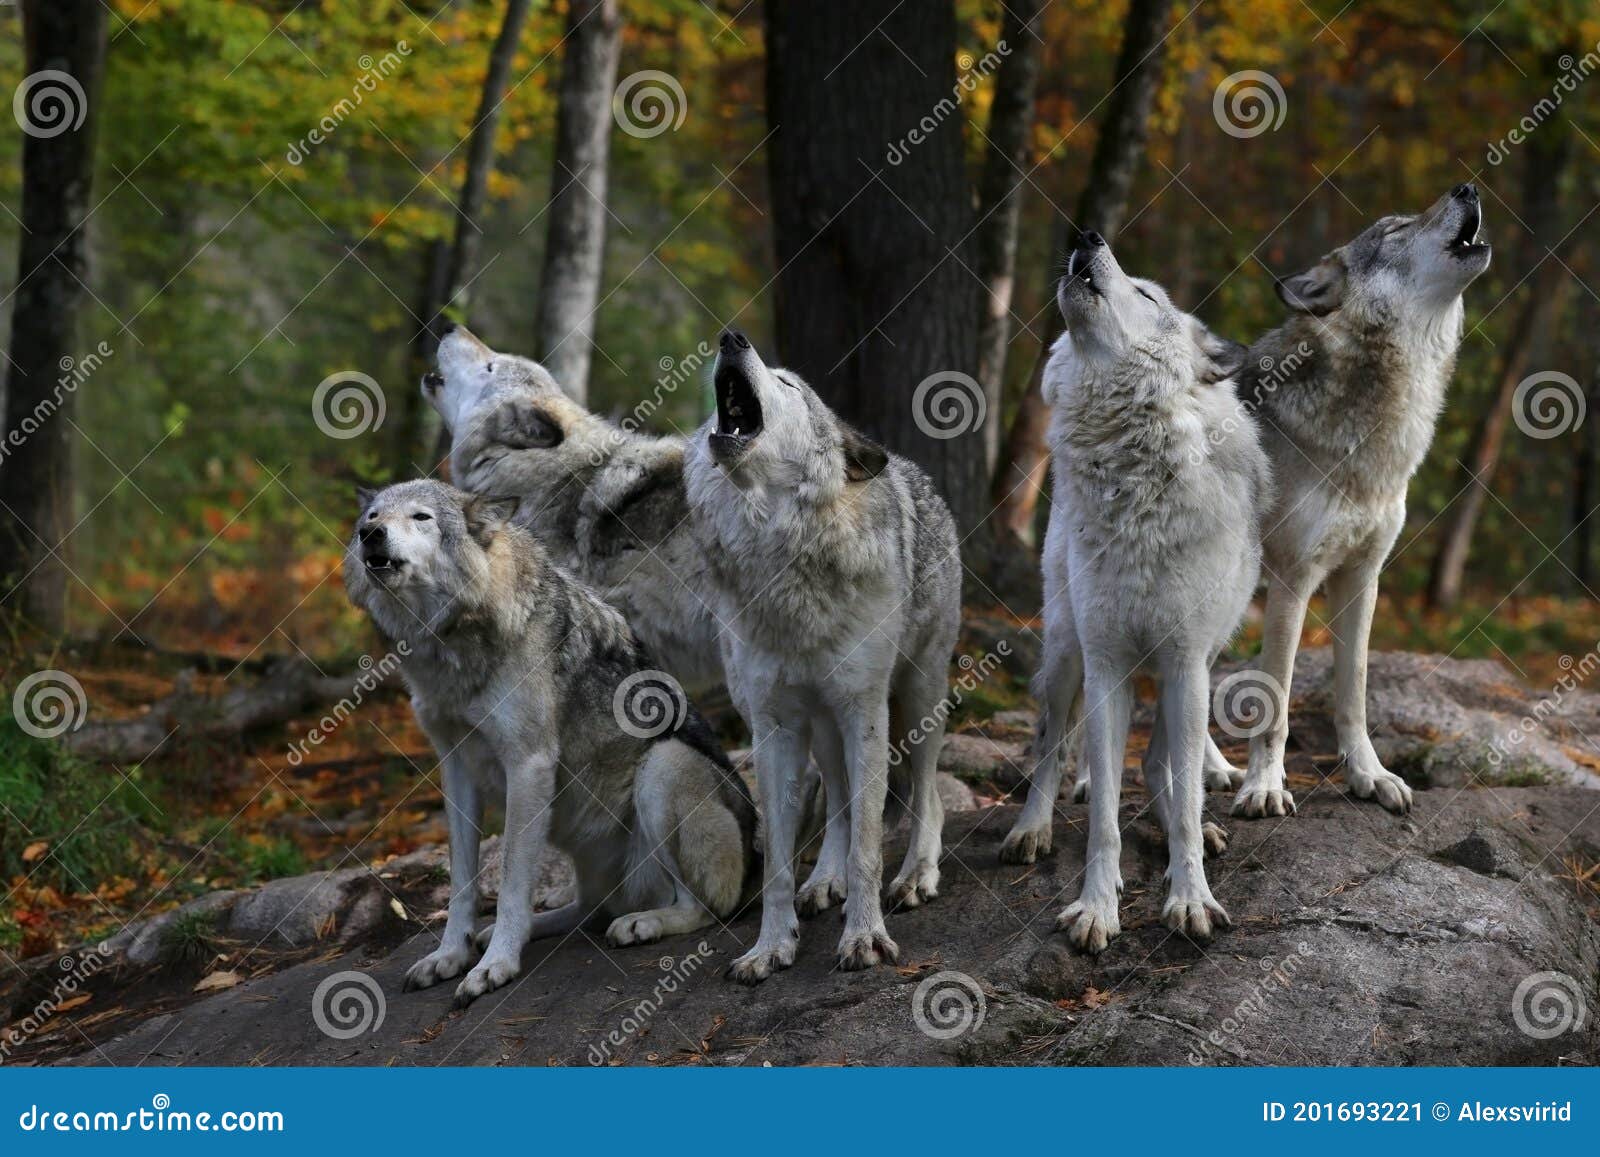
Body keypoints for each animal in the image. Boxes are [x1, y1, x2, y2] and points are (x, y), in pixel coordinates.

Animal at [344, 480, 756, 1006]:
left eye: (421, 517)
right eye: (374, 515)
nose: (369, 534)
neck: (452, 641)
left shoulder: (528, 764)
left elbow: (511, 881)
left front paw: (494, 965)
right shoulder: (456, 768)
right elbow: (463, 882)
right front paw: (450, 955)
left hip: (663, 767)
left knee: (703, 908)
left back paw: (642, 923)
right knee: (587, 909)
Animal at [684, 330, 963, 983]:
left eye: (788, 384)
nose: (732, 338)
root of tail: (913, 470)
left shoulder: (864, 712)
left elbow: (868, 846)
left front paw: (864, 938)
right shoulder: (772, 727)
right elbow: (782, 863)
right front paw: (770, 947)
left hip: (916, 698)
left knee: (928, 796)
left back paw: (916, 875)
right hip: (819, 725)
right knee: (838, 802)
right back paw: (824, 882)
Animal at [1005, 233, 1269, 951]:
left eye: (1148, 295)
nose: (1086, 236)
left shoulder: (1183, 661)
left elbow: (1181, 796)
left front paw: (1190, 894)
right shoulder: (1106, 667)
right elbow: (1101, 812)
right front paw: (1097, 907)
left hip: (1201, 663)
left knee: (1162, 767)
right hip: (1066, 654)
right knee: (1050, 745)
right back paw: (1031, 828)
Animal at [1231, 183, 1492, 819]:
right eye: (1395, 230)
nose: (1468, 187)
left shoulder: (1362, 576)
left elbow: (1354, 692)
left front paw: (1369, 777)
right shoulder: (1295, 580)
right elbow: (1276, 701)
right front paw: (1264, 786)